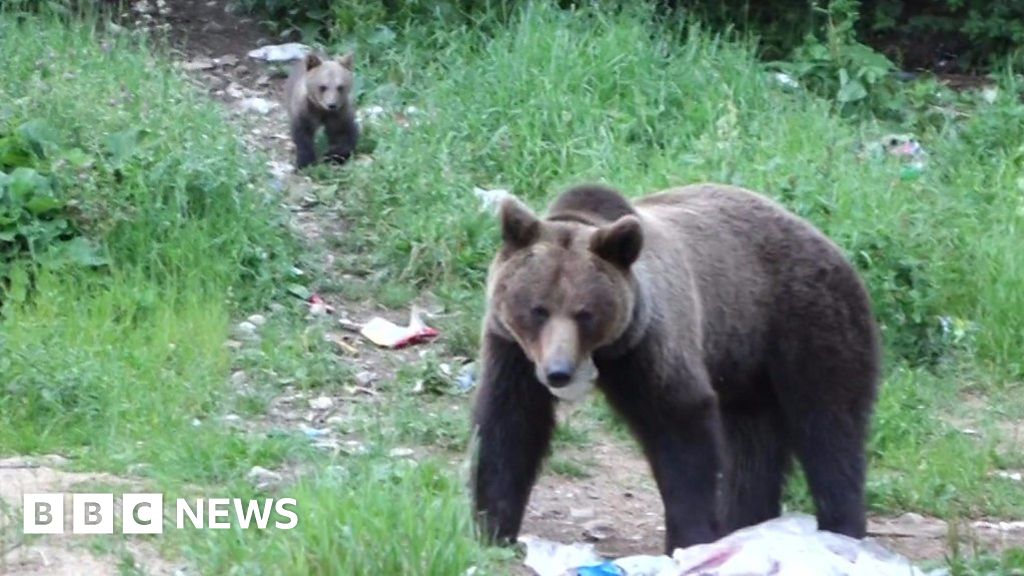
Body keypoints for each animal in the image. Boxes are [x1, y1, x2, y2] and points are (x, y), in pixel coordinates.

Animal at [470, 182, 881, 554]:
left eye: (584, 313)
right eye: (538, 309)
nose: (558, 372)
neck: (604, 355)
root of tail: (828, 242)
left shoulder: (649, 343)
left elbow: (679, 426)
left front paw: (690, 538)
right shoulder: (513, 350)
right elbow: (510, 424)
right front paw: (493, 527)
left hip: (808, 321)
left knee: (829, 427)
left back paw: (841, 529)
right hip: (746, 363)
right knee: (753, 446)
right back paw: (747, 523)